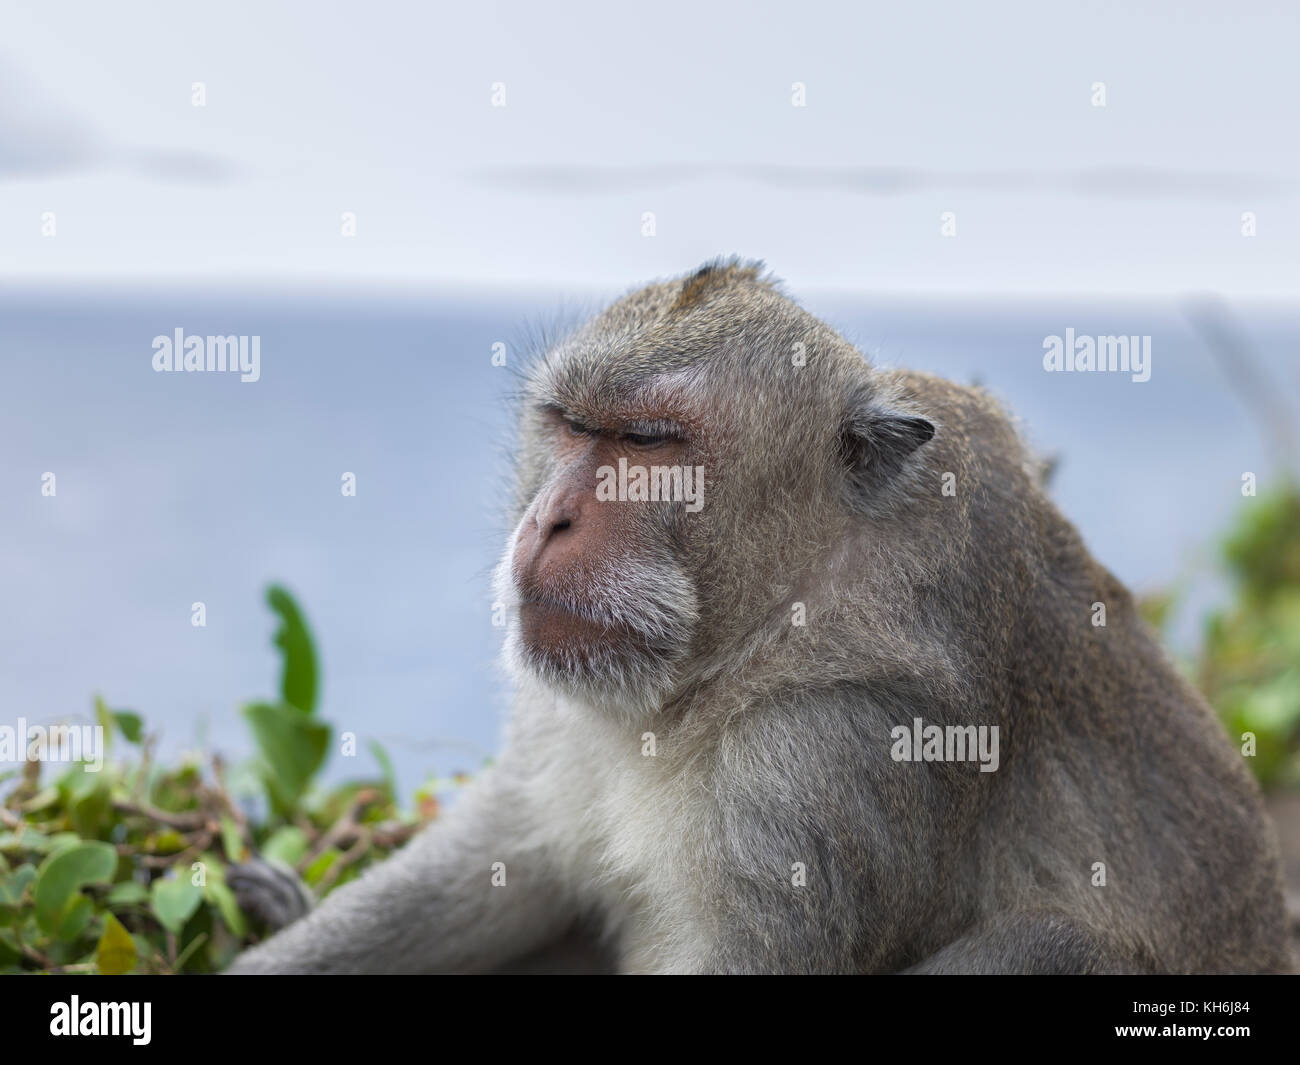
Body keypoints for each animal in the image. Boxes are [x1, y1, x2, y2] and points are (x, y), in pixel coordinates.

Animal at [226, 259, 1289, 974]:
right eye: (571, 426)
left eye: (650, 443)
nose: (547, 519)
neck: (758, 630)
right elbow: (504, 864)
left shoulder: (836, 747)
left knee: (1056, 943)